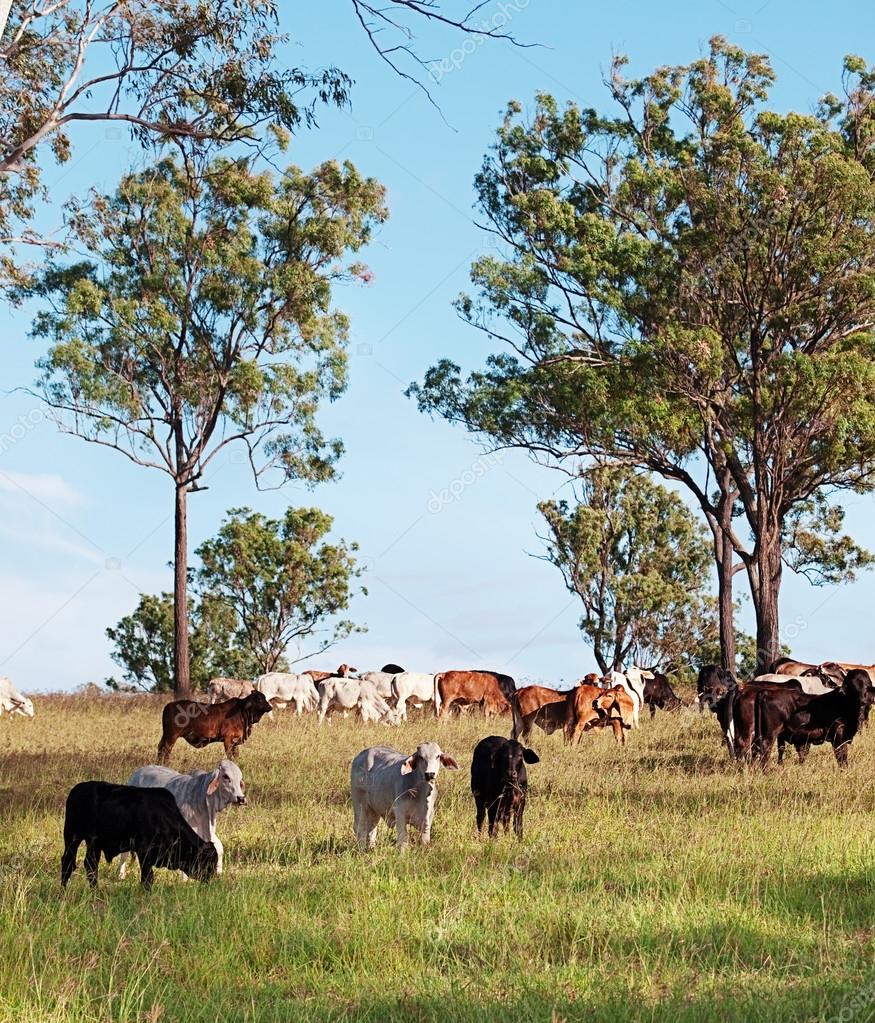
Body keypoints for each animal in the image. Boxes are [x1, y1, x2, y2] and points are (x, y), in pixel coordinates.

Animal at [61, 781, 217, 889]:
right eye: (207, 862)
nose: (212, 877)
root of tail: (78, 789)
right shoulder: (144, 853)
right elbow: (147, 879)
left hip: (94, 843)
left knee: (91, 865)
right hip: (72, 837)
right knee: (68, 863)